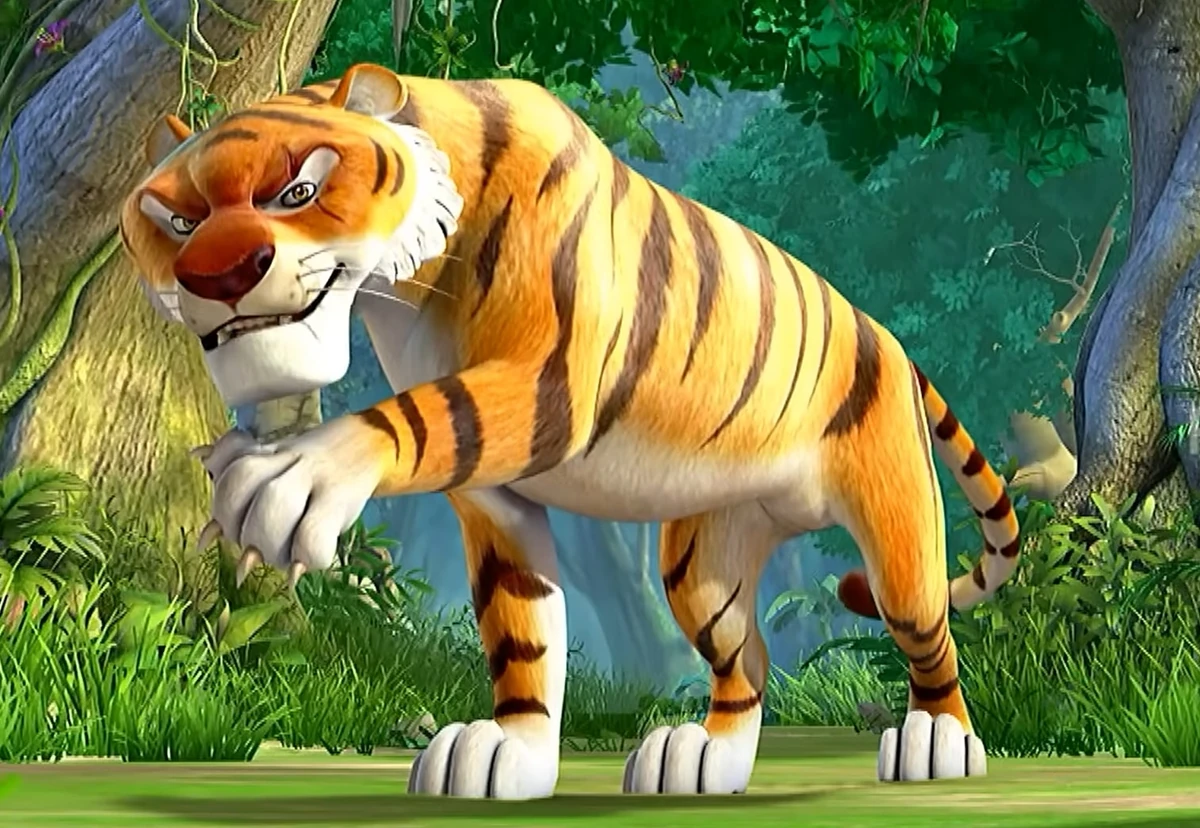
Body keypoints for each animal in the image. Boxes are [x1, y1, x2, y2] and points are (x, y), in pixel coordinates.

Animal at [119, 62, 1021, 799]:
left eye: (297, 193)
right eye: (178, 221)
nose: (215, 275)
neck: (404, 284)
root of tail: (891, 340)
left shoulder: (542, 387)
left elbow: (415, 419)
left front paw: (291, 477)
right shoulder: (492, 492)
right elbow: (521, 631)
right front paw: (507, 756)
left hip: (897, 544)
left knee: (930, 639)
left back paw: (939, 744)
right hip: (705, 565)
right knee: (749, 659)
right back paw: (704, 760)